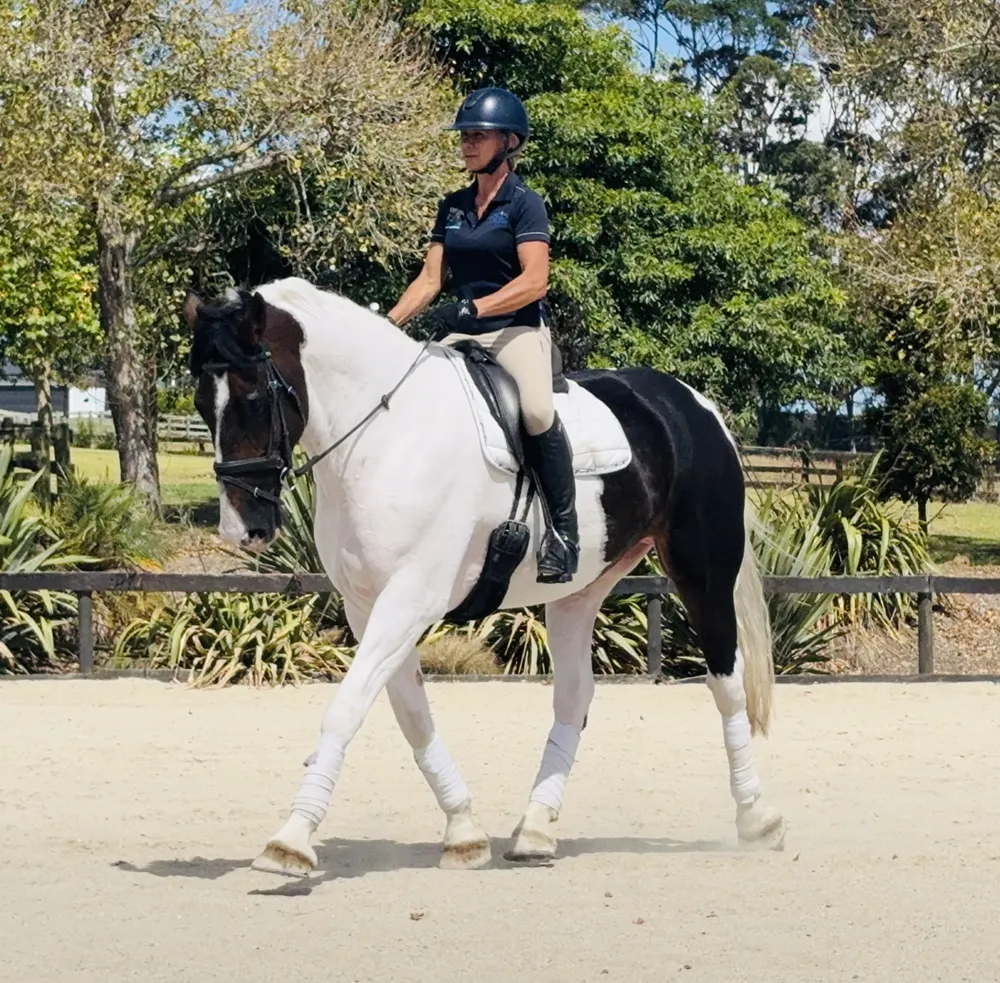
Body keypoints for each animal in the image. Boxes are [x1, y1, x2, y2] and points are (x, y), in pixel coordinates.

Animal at [183, 275, 786, 877]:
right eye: (200, 404)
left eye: (254, 399)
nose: (243, 530)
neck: (384, 437)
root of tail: (691, 403)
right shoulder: (367, 605)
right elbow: (412, 717)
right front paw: (464, 832)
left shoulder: (409, 600)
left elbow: (347, 709)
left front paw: (289, 840)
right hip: (580, 591)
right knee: (574, 696)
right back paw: (536, 830)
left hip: (702, 574)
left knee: (726, 684)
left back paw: (757, 819)